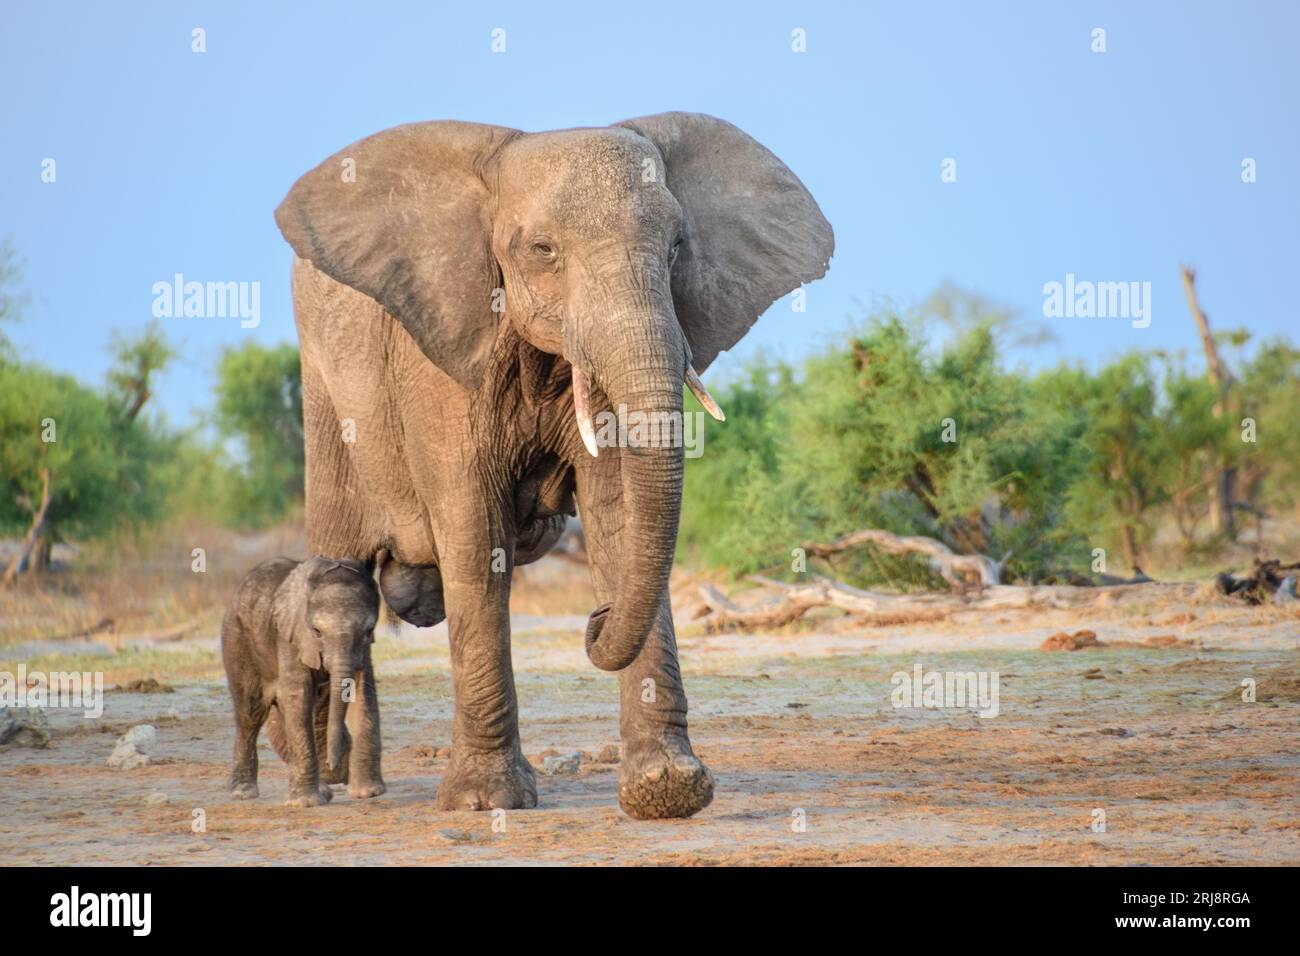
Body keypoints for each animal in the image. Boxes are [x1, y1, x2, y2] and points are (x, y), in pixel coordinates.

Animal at [221, 556, 385, 806]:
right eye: (316, 631)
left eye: (369, 630)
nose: (332, 765)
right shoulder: (289, 636)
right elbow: (299, 696)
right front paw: (305, 803)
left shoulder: (363, 650)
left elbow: (364, 692)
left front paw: (368, 793)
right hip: (236, 638)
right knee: (251, 712)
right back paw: (243, 793)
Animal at [273, 111, 833, 819]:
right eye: (543, 251)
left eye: (678, 248)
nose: (594, 622)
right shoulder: (440, 360)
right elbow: (474, 535)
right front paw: (486, 802)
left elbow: (620, 517)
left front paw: (667, 791)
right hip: (325, 395)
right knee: (341, 566)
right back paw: (320, 781)